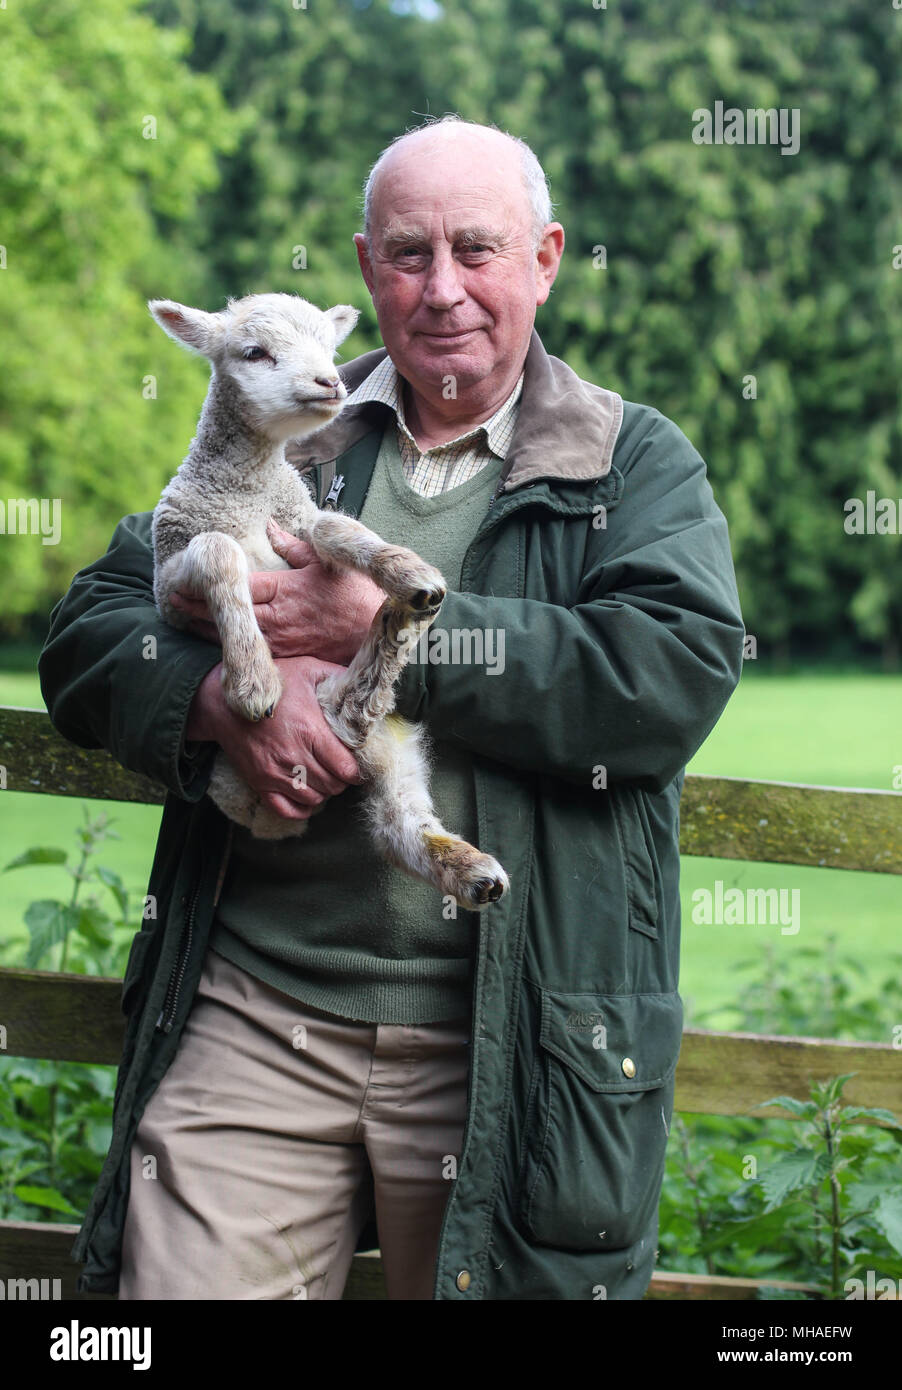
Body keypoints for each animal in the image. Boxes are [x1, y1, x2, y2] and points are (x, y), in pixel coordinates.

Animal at [148, 292, 509, 910]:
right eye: (254, 352)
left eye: (328, 347)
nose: (330, 383)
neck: (249, 493)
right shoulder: (168, 580)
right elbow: (218, 551)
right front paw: (254, 682)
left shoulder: (298, 523)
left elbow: (337, 528)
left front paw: (404, 568)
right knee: (366, 750)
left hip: (391, 747)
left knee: (396, 818)